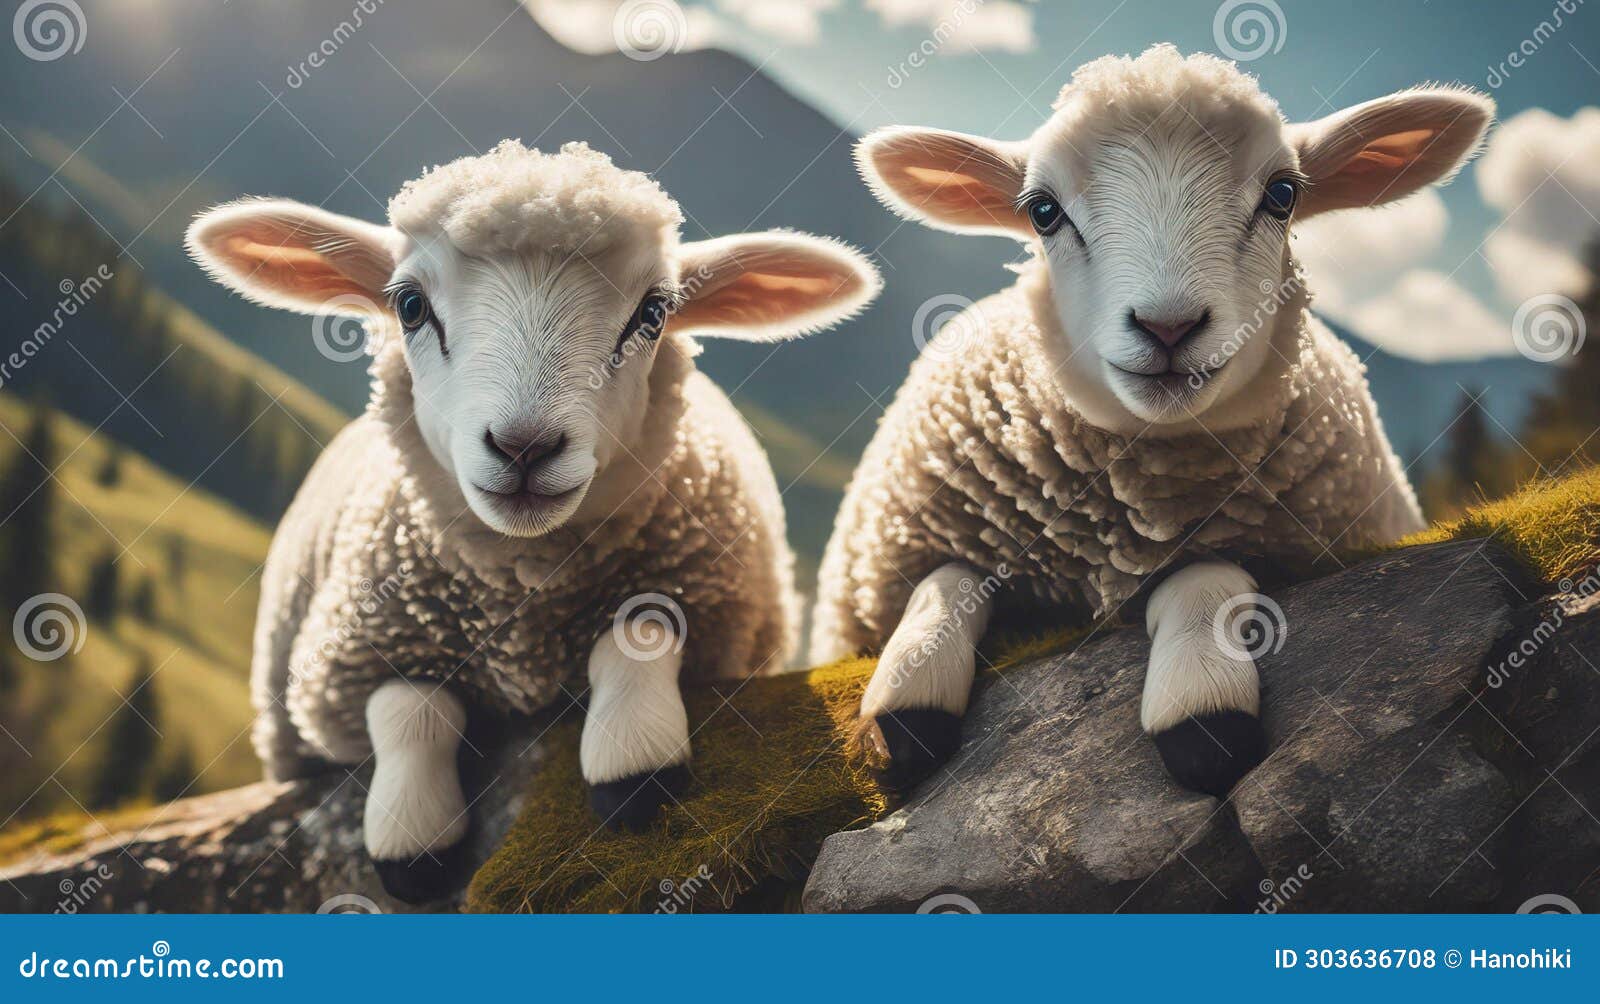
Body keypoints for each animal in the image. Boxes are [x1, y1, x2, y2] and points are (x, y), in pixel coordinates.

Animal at [186, 139, 881, 902]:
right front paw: (411, 840)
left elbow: (639, 631)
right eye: (409, 305)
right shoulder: (357, 653)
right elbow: (409, 710)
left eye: (654, 312)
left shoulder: (708, 601)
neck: (527, 604)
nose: (524, 447)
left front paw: (633, 766)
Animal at [813, 45, 1492, 798]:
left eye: (1283, 195)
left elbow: (1203, 576)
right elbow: (947, 582)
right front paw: (906, 701)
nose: (1169, 327)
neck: (1127, 516)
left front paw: (1201, 716)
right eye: (1043, 212)